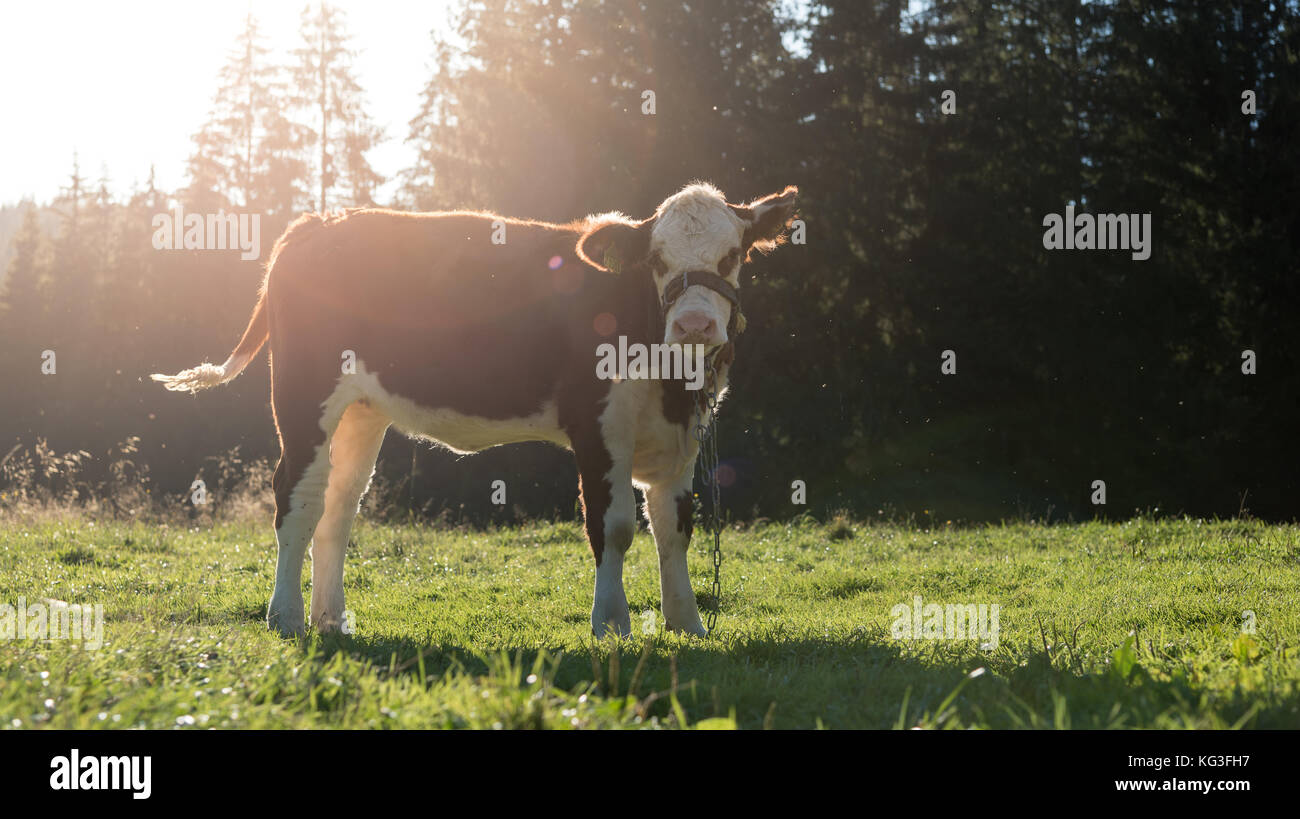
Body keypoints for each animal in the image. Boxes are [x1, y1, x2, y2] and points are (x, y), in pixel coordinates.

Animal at [152, 182, 798, 638]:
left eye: (733, 255)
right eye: (657, 259)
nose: (694, 325)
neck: (671, 380)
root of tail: (319, 222)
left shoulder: (683, 439)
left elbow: (674, 529)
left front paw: (687, 623)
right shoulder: (597, 426)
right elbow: (613, 526)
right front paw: (611, 622)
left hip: (363, 408)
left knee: (338, 505)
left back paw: (331, 620)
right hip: (302, 395)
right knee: (297, 495)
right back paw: (285, 616)